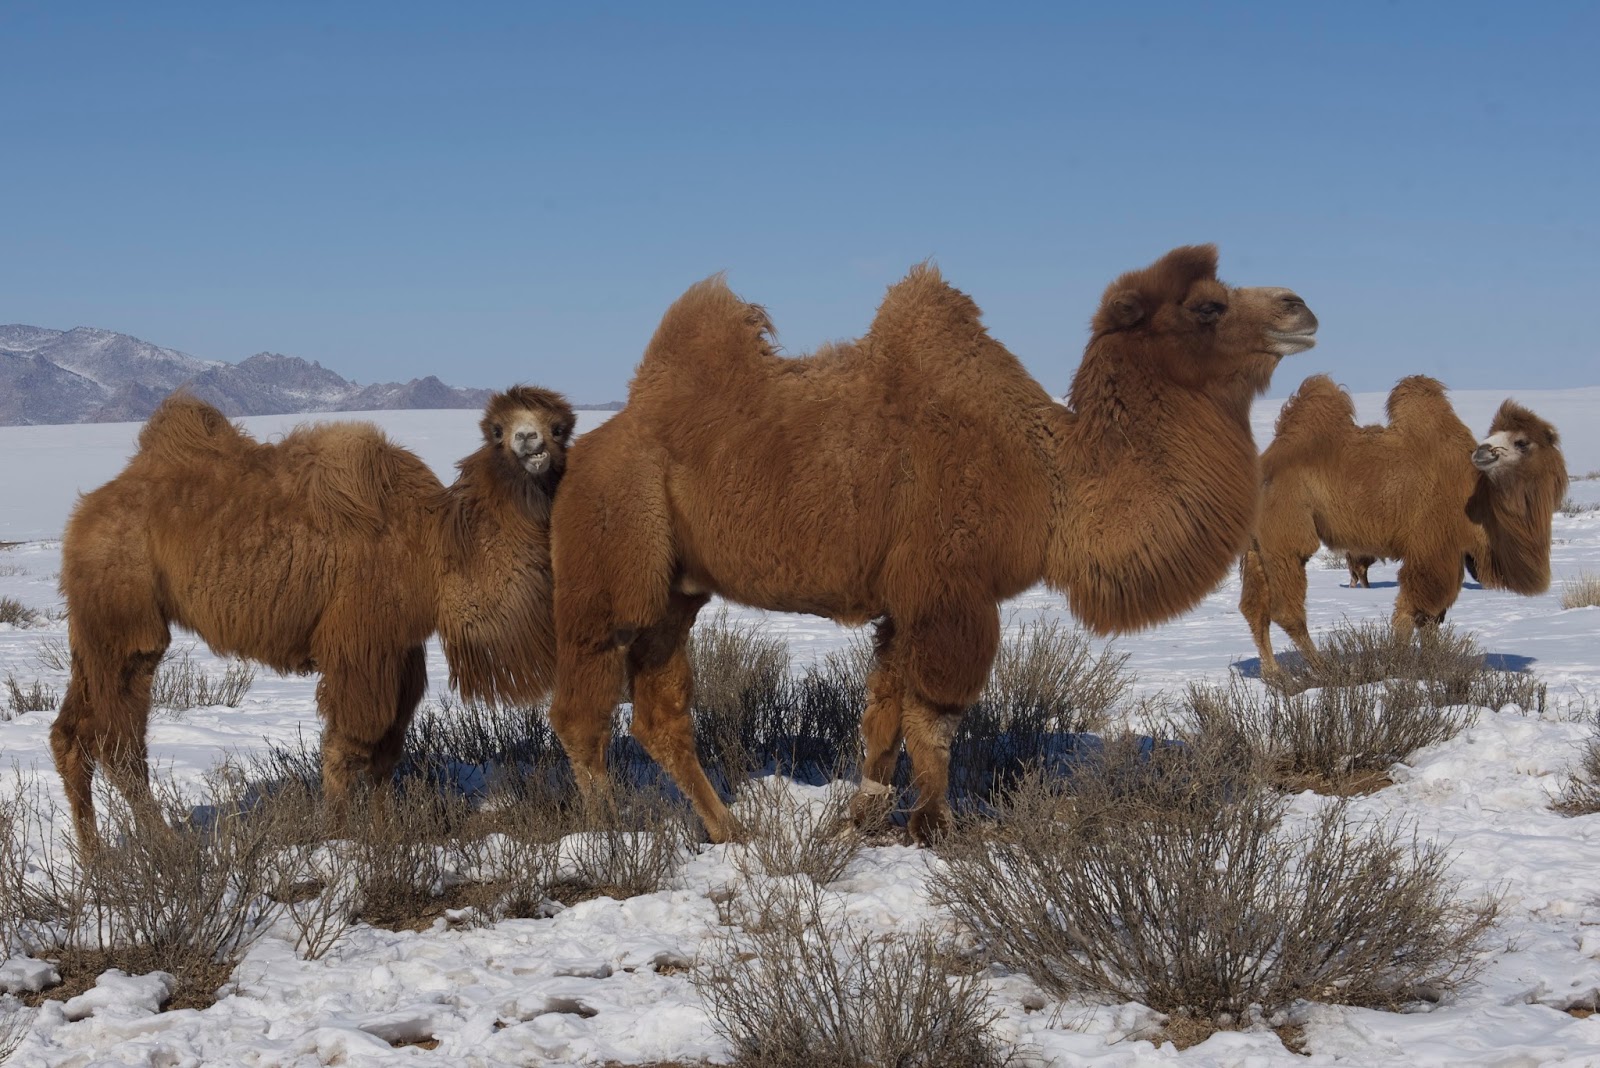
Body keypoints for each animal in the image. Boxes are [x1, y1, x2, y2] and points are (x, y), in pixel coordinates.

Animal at [53, 386, 574, 850]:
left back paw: (96, 861)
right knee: (118, 742)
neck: (433, 547)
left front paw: (388, 834)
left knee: (70, 733)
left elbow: (387, 749)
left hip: (92, 629)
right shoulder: (358, 643)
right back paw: (166, 850)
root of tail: (84, 513)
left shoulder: (401, 648)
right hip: (124, 620)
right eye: (496, 430)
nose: (529, 442)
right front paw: (338, 839)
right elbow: (348, 747)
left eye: (559, 428)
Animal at [546, 245, 1317, 843]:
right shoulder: (950, 589)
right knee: (582, 710)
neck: (1049, 476)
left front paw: (862, 815)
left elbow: (884, 715)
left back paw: (730, 829)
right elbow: (936, 714)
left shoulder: (905, 601)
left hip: (679, 590)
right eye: (1207, 306)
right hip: (611, 563)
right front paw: (934, 823)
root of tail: (583, 455)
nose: (1300, 309)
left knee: (658, 711)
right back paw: (608, 833)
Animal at [1241, 374, 1566, 683]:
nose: (1483, 451)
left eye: (1522, 441)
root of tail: (1265, 464)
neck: (1475, 497)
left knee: (1255, 609)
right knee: (1286, 610)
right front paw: (1399, 666)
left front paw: (1432, 665)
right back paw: (1325, 669)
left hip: (1258, 545)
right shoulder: (1433, 550)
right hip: (1285, 534)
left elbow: (1431, 618)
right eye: (1494, 436)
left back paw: (1273, 673)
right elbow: (1413, 612)